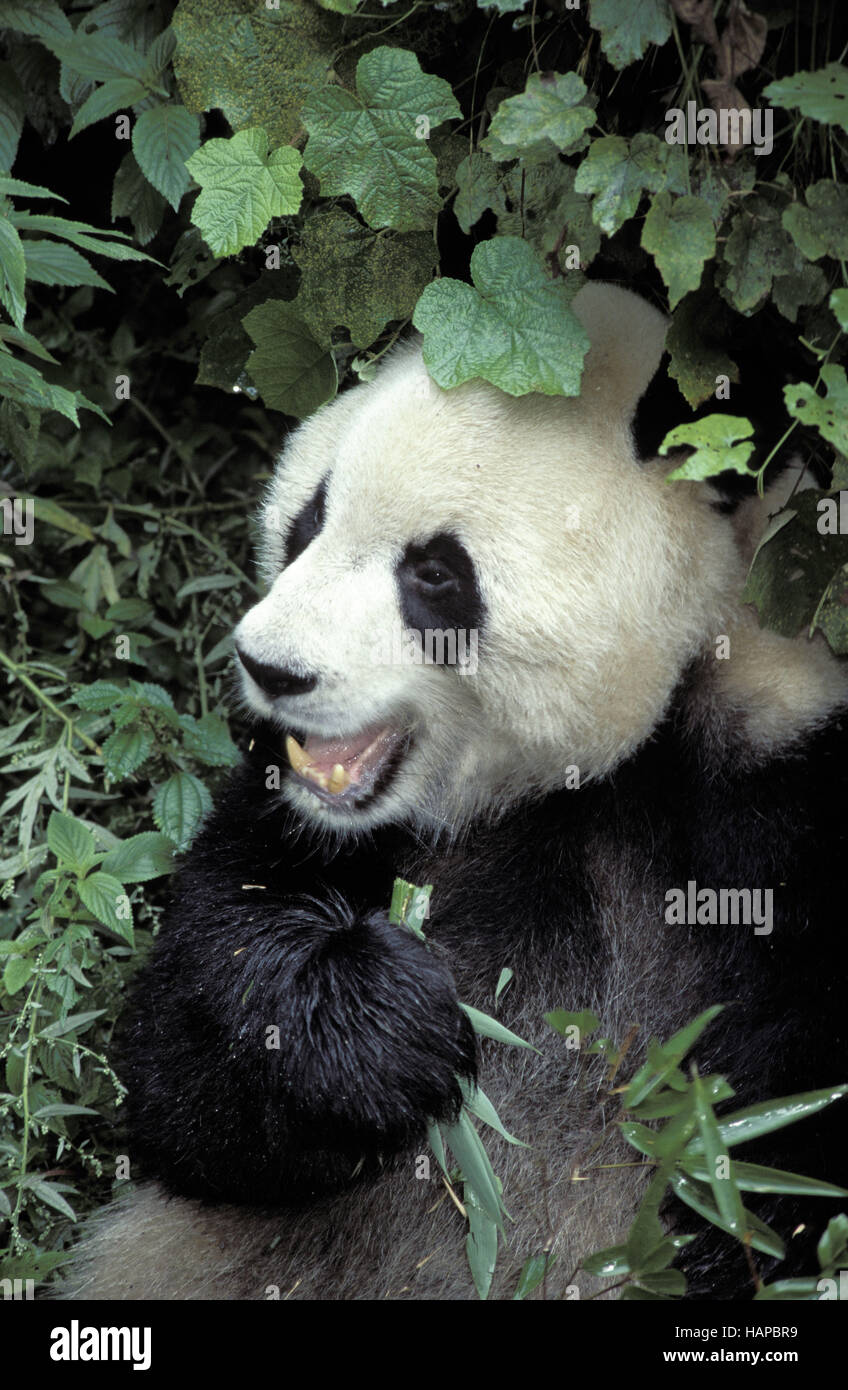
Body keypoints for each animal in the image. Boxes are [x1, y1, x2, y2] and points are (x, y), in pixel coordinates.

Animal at [65, 283, 848, 1301]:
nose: (270, 667)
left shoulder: (788, 785)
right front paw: (382, 1019)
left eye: (434, 572)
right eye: (309, 521)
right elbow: (192, 1066)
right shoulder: (312, 819)